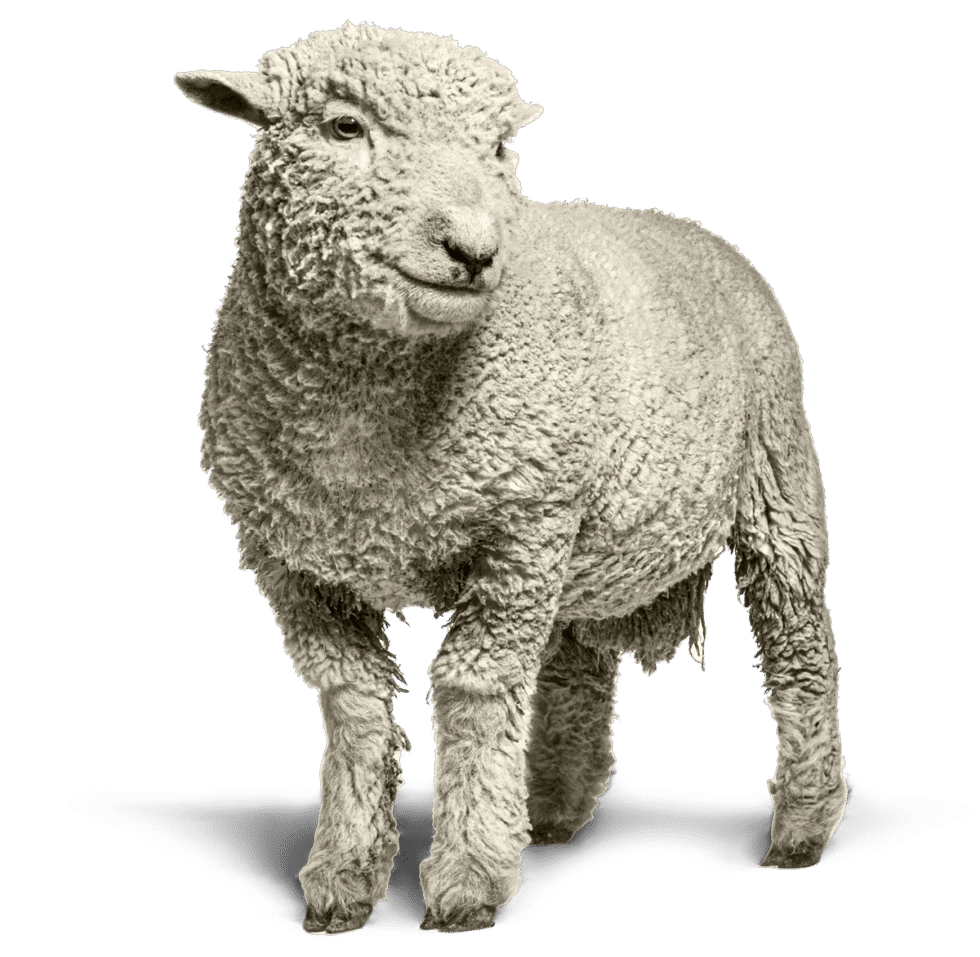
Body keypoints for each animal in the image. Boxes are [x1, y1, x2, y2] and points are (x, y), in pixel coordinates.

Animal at [174, 21, 848, 936]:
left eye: (501, 147)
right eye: (344, 128)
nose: (474, 250)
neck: (363, 430)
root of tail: (691, 227)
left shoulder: (518, 528)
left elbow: (474, 688)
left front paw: (464, 884)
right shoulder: (289, 557)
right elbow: (352, 702)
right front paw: (342, 881)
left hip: (773, 480)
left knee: (800, 651)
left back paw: (800, 831)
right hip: (583, 537)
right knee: (574, 671)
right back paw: (551, 811)